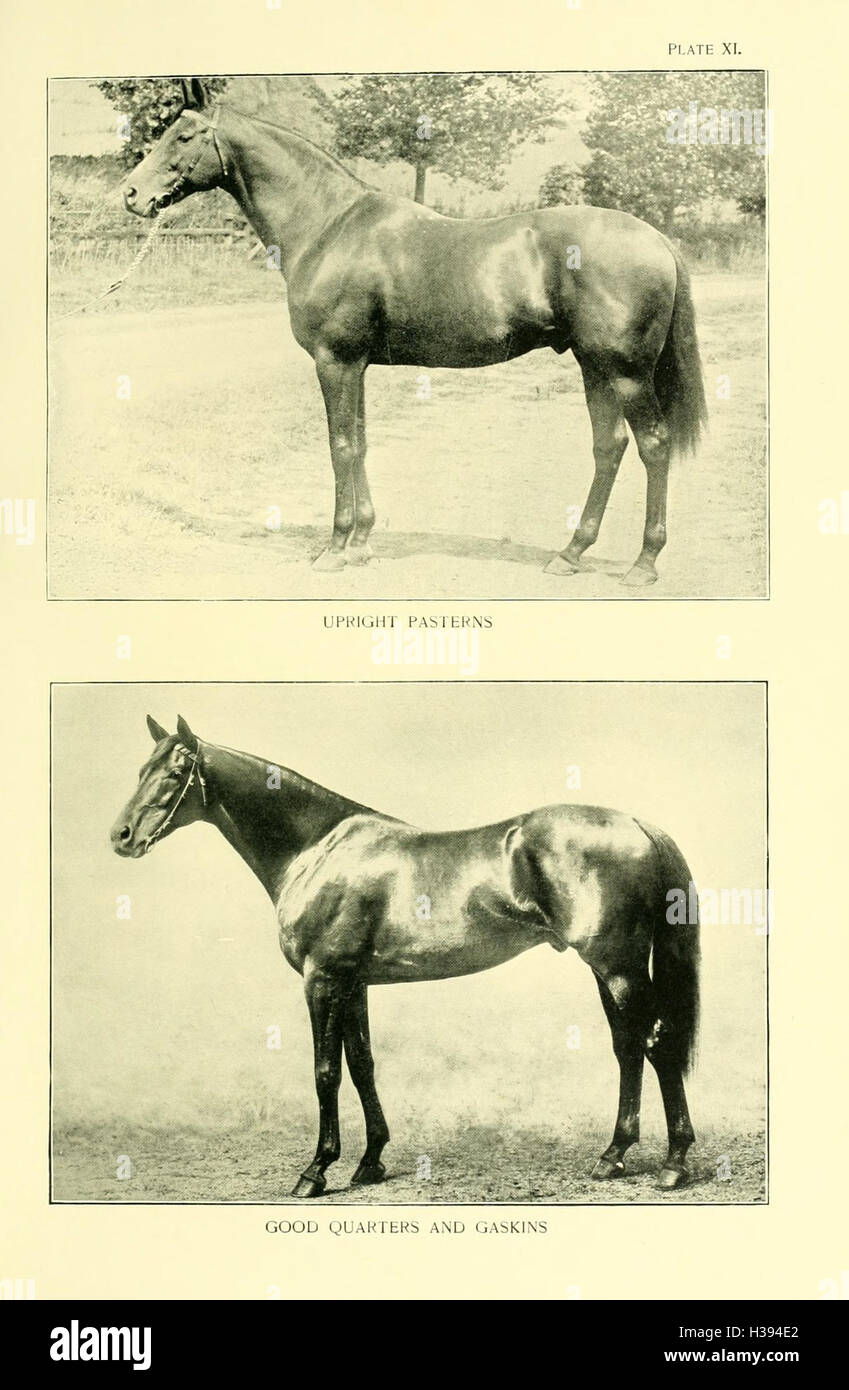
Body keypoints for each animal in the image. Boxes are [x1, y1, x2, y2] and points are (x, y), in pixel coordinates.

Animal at [110, 715, 701, 1198]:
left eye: (174, 773)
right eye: (140, 769)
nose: (121, 836)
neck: (317, 849)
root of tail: (638, 825)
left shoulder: (322, 980)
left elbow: (325, 1072)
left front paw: (315, 1171)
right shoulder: (354, 982)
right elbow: (362, 1065)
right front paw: (369, 1162)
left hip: (619, 968)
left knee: (657, 1046)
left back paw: (673, 1164)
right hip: (608, 970)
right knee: (628, 1048)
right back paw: (613, 1157)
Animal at [119, 78, 707, 586]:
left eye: (184, 135)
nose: (130, 193)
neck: (328, 225)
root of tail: (658, 238)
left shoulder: (334, 360)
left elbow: (340, 446)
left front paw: (335, 548)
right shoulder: (354, 365)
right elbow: (359, 443)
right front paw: (362, 542)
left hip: (627, 372)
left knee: (653, 445)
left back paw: (643, 563)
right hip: (594, 367)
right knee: (609, 446)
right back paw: (570, 553)